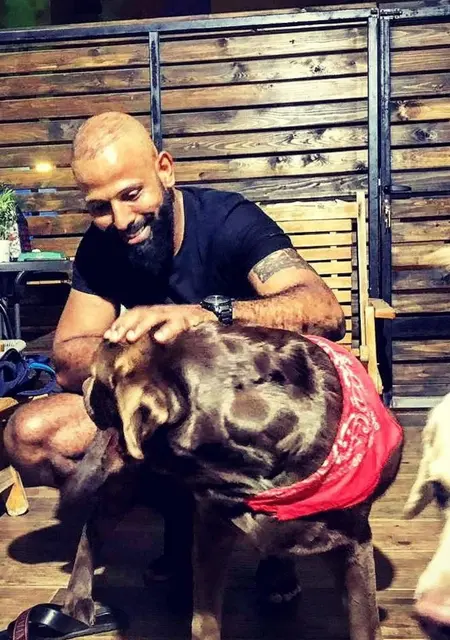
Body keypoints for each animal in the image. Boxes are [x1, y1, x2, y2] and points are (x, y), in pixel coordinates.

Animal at [59, 323, 403, 640]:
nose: (85, 384)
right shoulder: (213, 528)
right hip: (126, 485)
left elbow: (364, 619)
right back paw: (80, 597)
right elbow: (205, 618)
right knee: (93, 530)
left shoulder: (354, 540)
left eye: (97, 375)